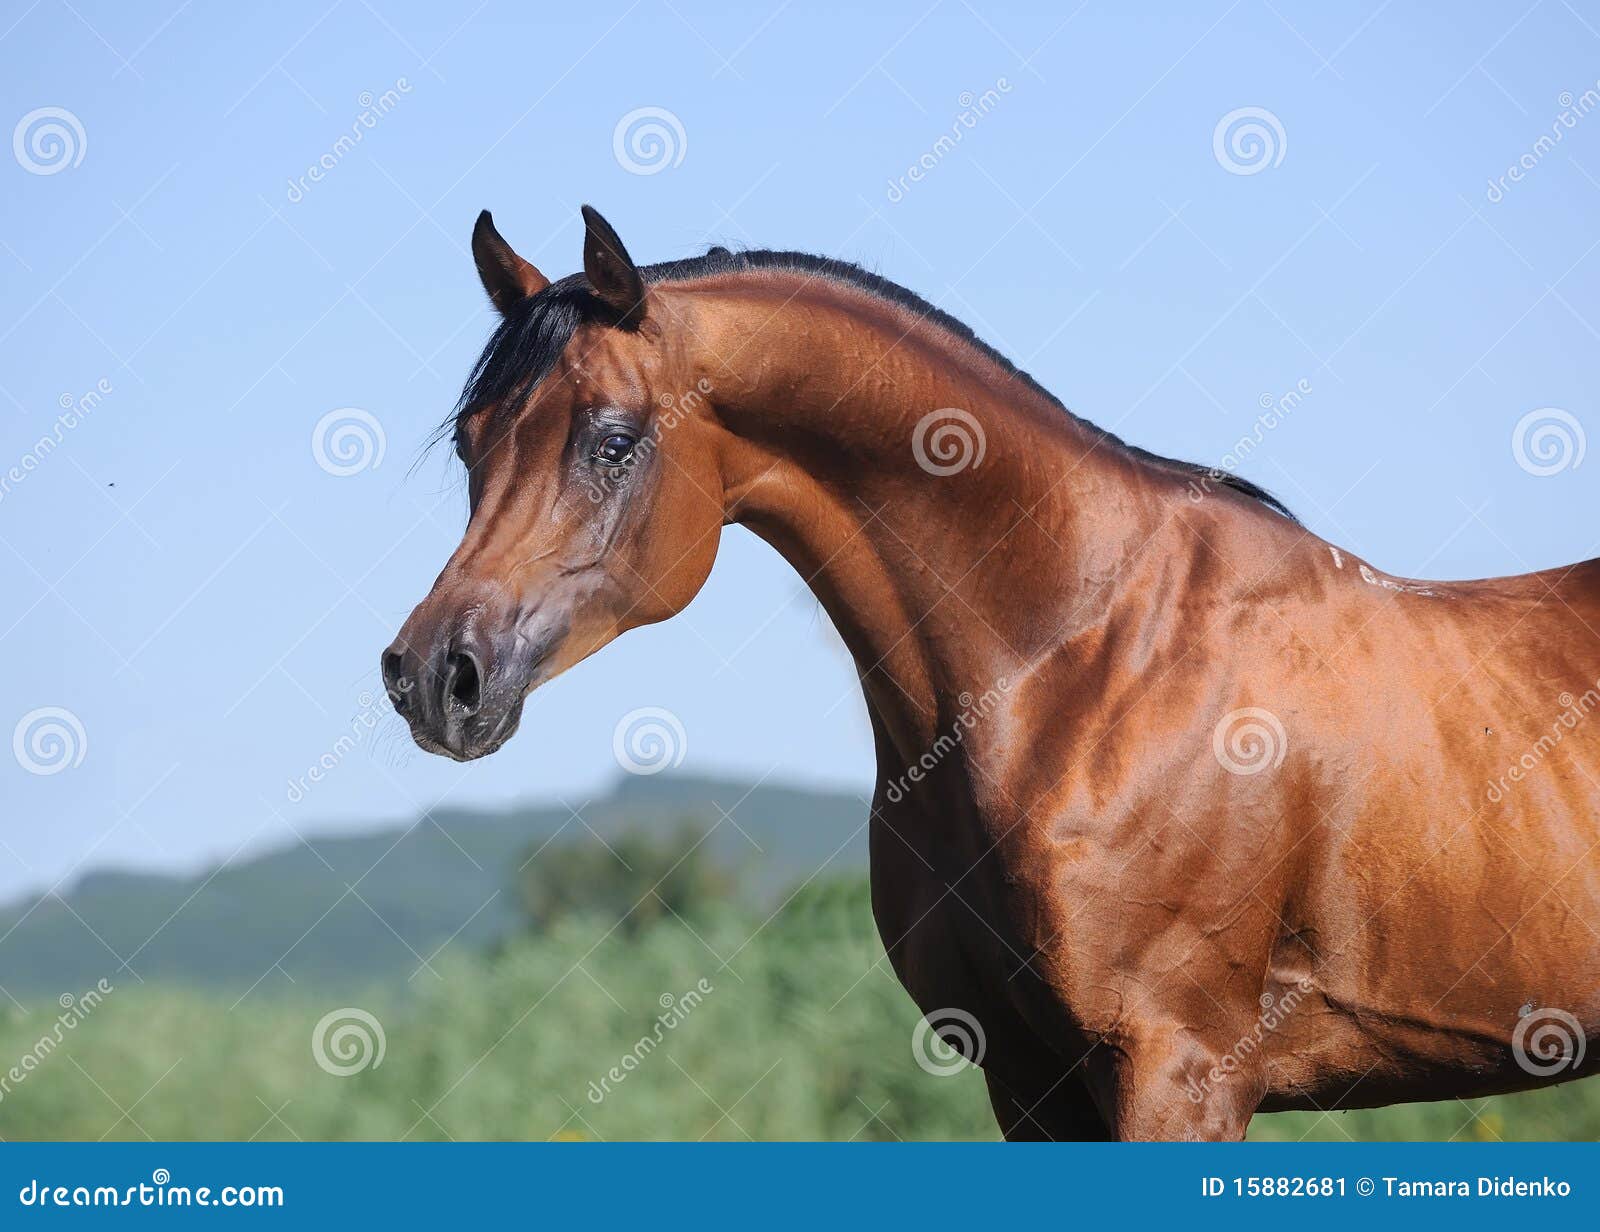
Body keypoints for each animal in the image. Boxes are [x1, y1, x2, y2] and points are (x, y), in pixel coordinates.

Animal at [382, 205, 1600, 1140]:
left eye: (615, 440)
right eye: (471, 441)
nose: (435, 676)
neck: (1075, 665)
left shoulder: (1178, 1072)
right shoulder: (1027, 1082)